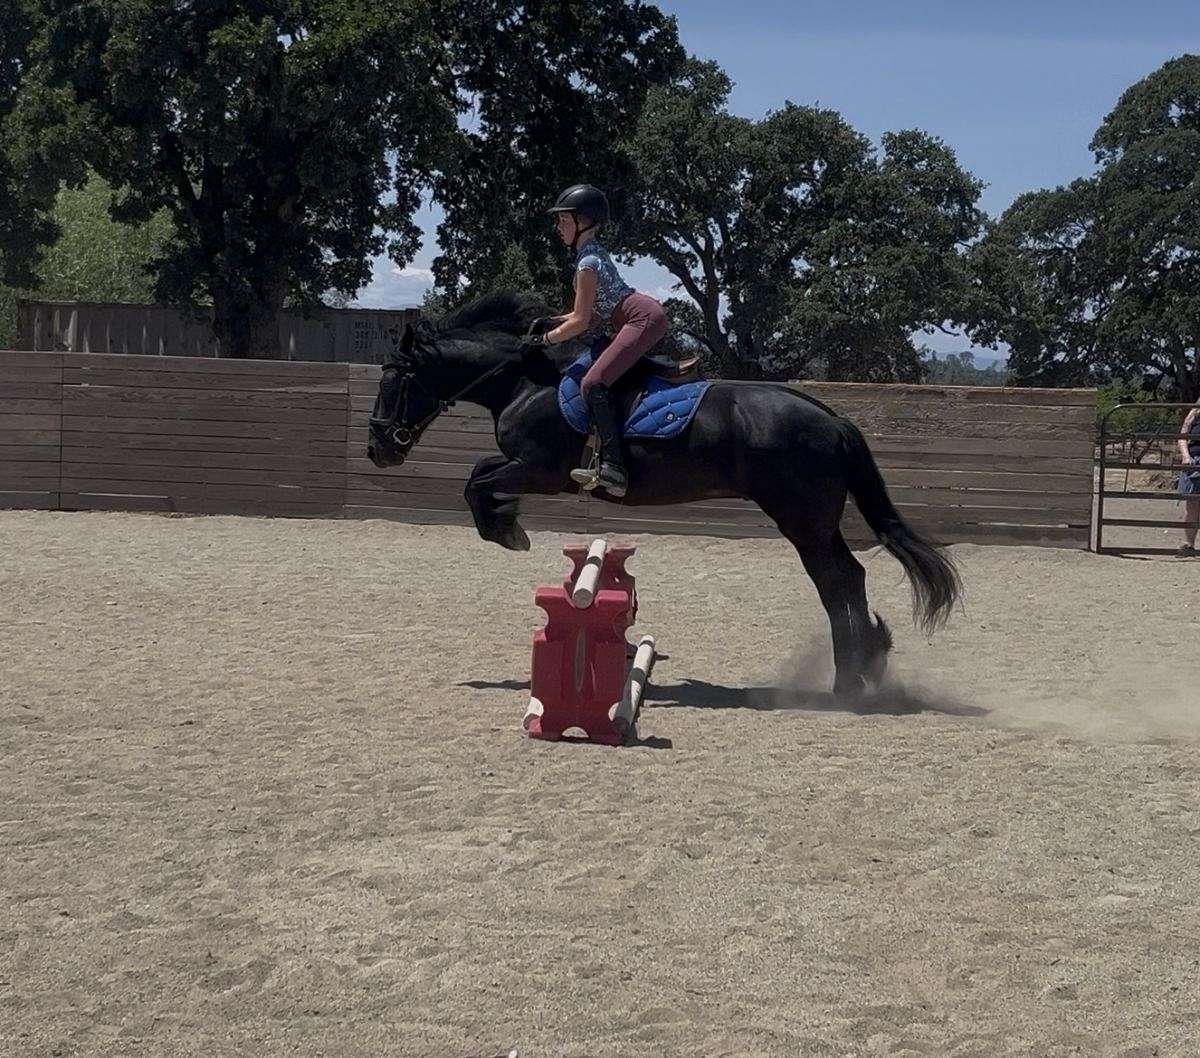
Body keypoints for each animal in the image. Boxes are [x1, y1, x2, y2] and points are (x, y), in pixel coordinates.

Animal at [367, 290, 960, 697]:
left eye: (393, 380)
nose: (378, 449)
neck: (526, 382)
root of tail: (832, 419)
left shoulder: (540, 470)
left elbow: (476, 483)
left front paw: (507, 530)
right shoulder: (525, 467)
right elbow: (481, 473)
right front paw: (506, 522)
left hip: (802, 520)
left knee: (836, 580)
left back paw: (847, 680)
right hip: (814, 521)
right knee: (849, 576)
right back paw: (869, 662)